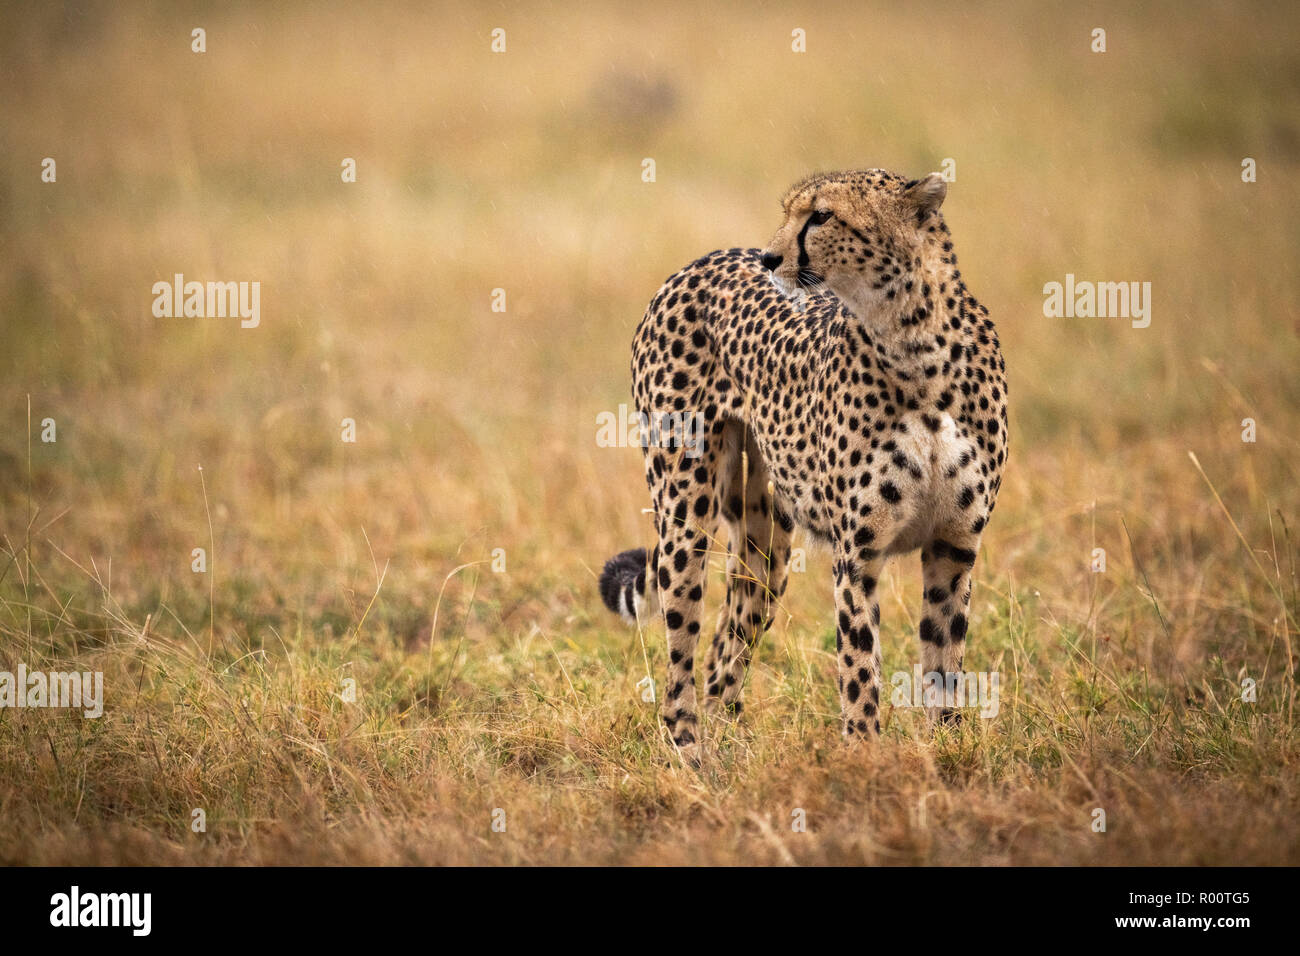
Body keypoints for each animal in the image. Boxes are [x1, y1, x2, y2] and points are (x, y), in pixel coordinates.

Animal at [599, 168, 1008, 763]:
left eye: (821, 216)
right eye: (791, 211)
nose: (770, 259)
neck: (915, 345)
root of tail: (700, 261)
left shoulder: (954, 547)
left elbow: (945, 664)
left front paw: (949, 752)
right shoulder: (858, 553)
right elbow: (860, 668)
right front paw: (864, 759)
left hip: (765, 545)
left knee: (725, 649)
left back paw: (729, 746)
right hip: (685, 513)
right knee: (681, 654)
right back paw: (691, 755)